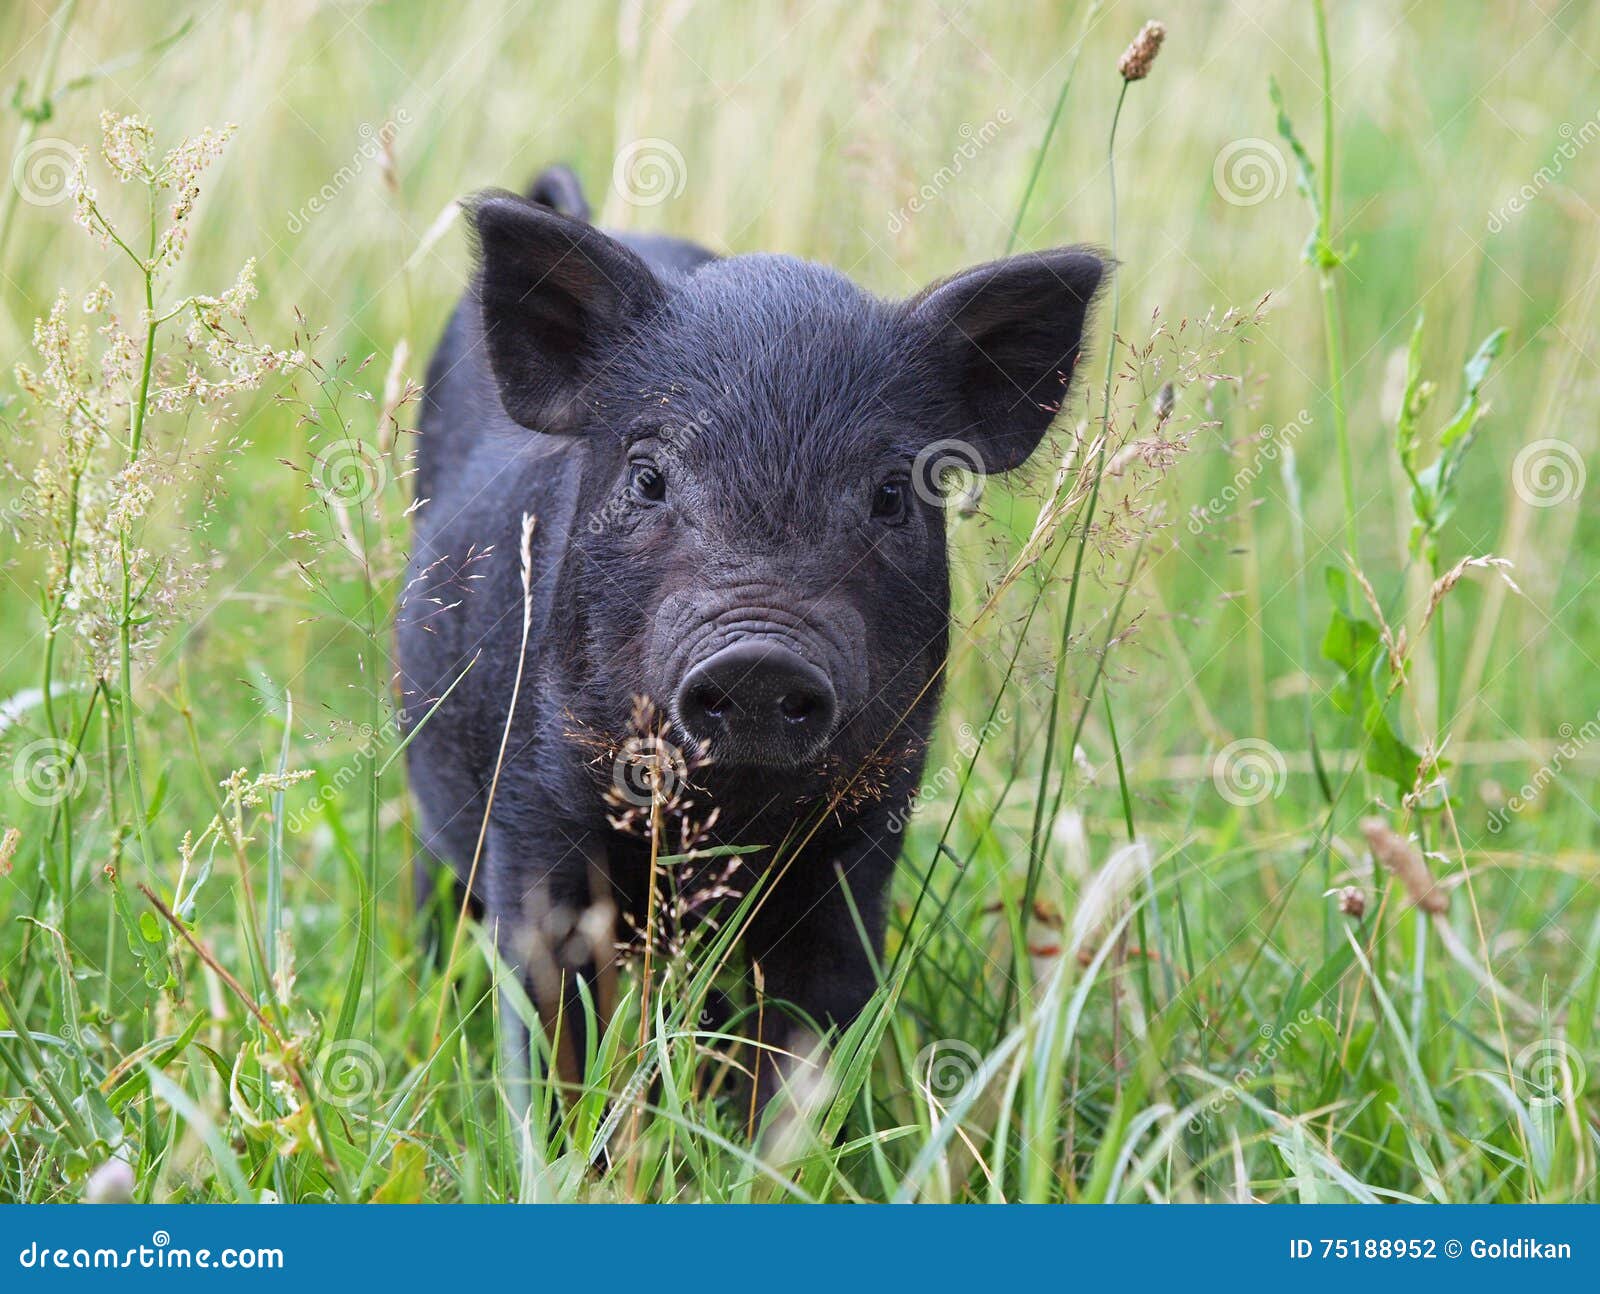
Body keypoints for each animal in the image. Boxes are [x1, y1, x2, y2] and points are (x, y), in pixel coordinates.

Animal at [397, 164, 1103, 1106]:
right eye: (649, 477)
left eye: (890, 492)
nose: (760, 656)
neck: (725, 814)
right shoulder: (533, 813)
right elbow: (554, 1024)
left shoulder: (864, 832)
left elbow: (810, 1033)